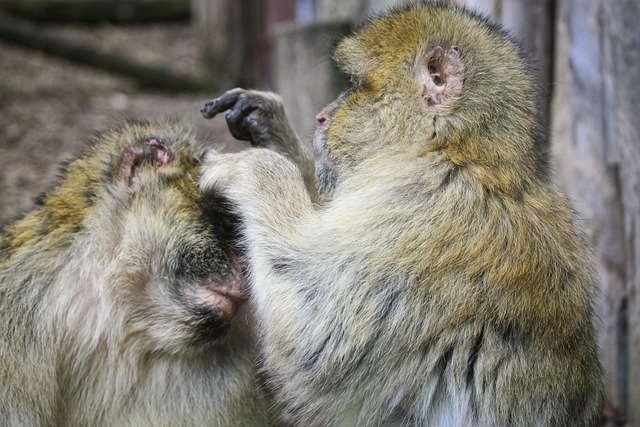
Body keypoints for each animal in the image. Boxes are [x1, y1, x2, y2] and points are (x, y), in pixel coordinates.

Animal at [198, 2, 604, 426]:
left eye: (354, 86)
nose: (321, 116)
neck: (456, 152)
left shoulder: (421, 214)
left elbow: (316, 337)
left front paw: (255, 167)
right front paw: (270, 126)